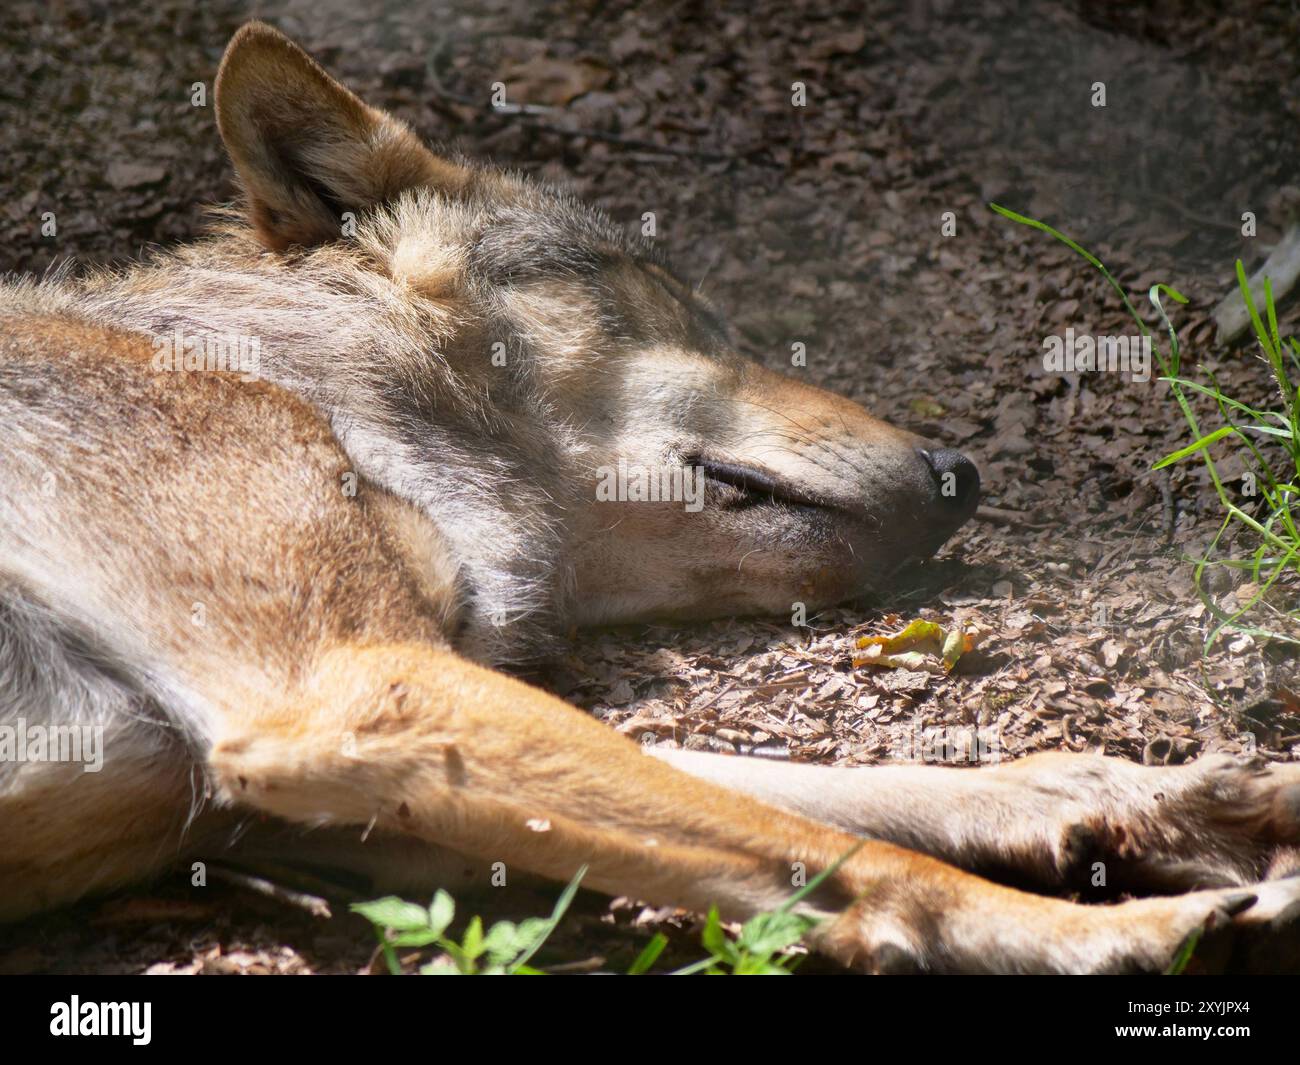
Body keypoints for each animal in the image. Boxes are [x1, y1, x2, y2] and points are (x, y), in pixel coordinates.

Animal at [2, 22, 1299, 973]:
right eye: (693, 315)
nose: (963, 477)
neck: (290, 372)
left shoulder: (326, 809)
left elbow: (851, 799)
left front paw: (1170, 802)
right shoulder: (348, 695)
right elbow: (861, 855)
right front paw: (1113, 932)